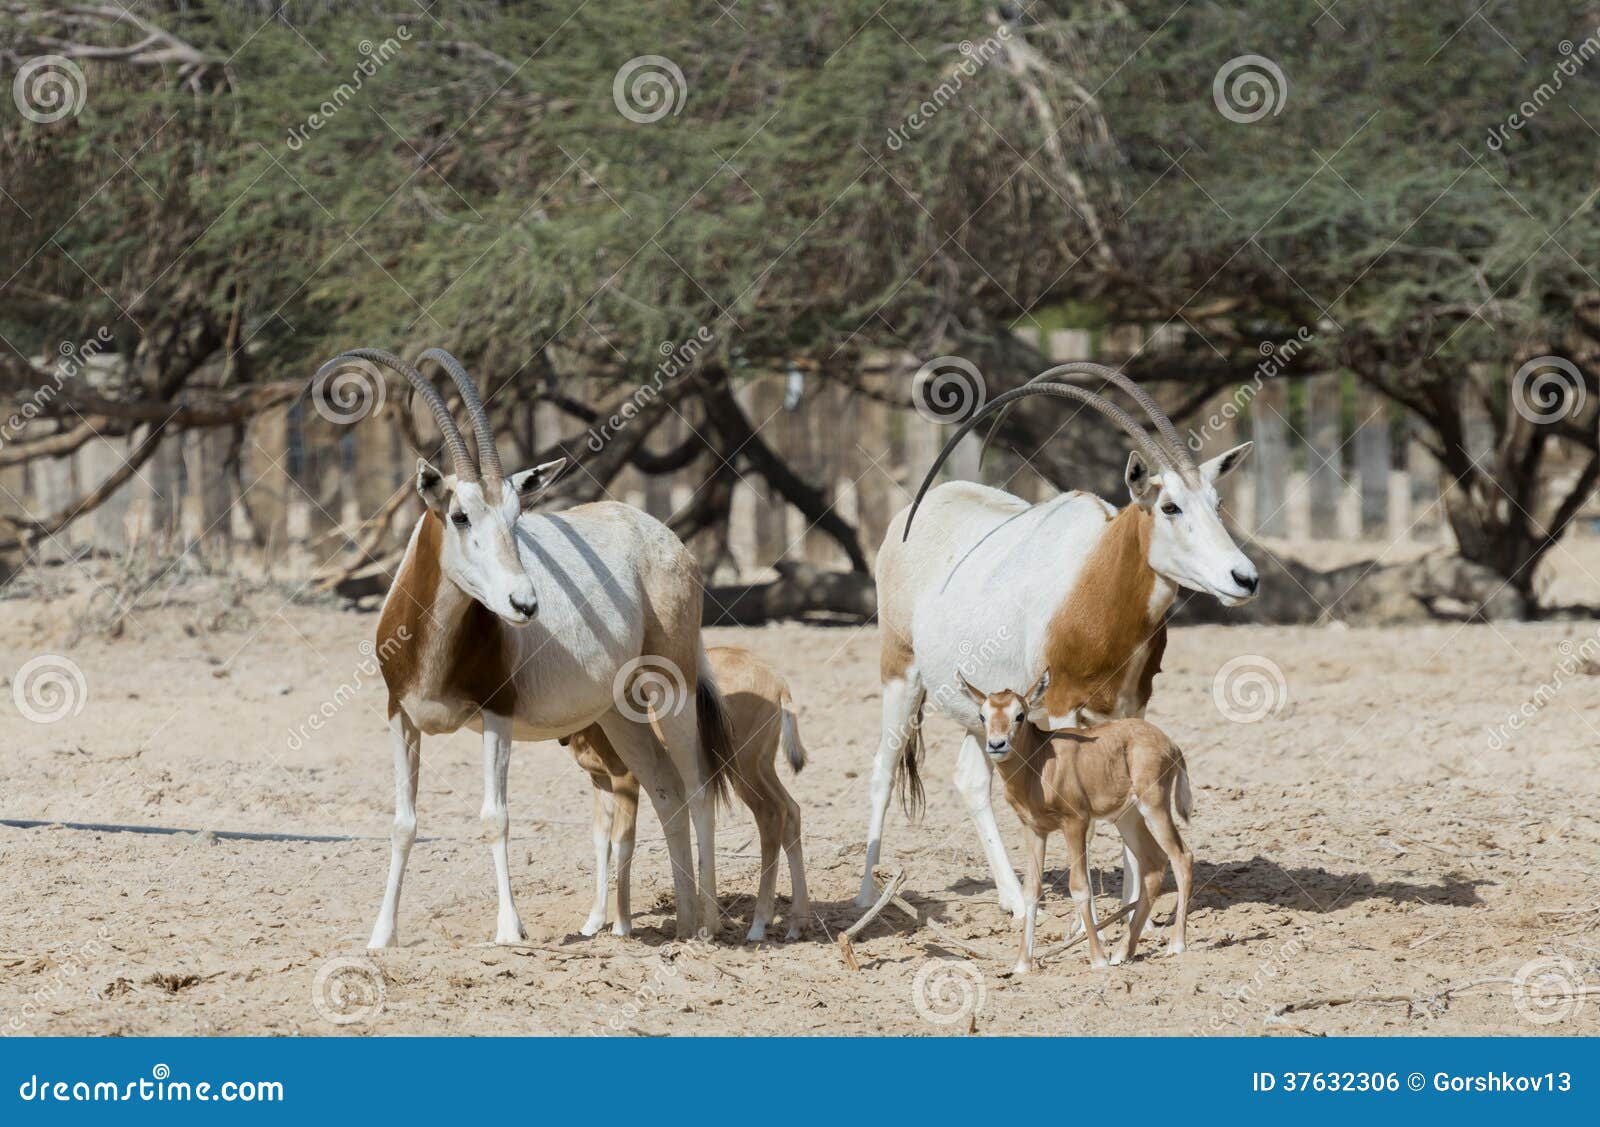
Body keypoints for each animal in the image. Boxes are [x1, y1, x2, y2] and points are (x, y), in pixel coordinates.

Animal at [313, 348, 735, 947]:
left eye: (517, 518)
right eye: (460, 515)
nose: (525, 603)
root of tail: (667, 539)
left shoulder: (498, 715)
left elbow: (496, 816)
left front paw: (510, 930)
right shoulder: (401, 716)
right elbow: (403, 822)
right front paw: (381, 936)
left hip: (668, 689)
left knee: (697, 788)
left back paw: (708, 925)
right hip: (617, 712)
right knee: (666, 790)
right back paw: (683, 922)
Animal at [565, 645, 810, 942]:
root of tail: (777, 684)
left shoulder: (626, 779)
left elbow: (622, 840)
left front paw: (622, 926)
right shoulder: (600, 782)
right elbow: (601, 841)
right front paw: (592, 923)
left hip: (742, 770)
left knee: (771, 814)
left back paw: (758, 926)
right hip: (760, 767)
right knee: (791, 810)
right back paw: (796, 925)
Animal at [859, 363, 1251, 924]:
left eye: (1216, 504)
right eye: (1170, 506)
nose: (1244, 578)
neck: (1097, 575)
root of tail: (912, 514)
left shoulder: (1133, 704)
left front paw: (1133, 906)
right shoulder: (1065, 702)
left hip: (982, 706)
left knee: (970, 779)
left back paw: (1013, 899)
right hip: (901, 672)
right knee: (884, 768)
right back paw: (865, 897)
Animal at [961, 672, 1193, 973]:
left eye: (1019, 715)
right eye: (982, 715)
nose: (997, 745)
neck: (1040, 763)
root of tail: (1170, 744)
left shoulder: (1075, 824)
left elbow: (1080, 887)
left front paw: (1097, 959)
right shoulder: (1034, 830)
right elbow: (1031, 890)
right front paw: (1022, 964)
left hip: (1154, 807)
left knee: (1181, 856)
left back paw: (1176, 945)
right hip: (1127, 818)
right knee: (1154, 864)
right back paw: (1122, 952)